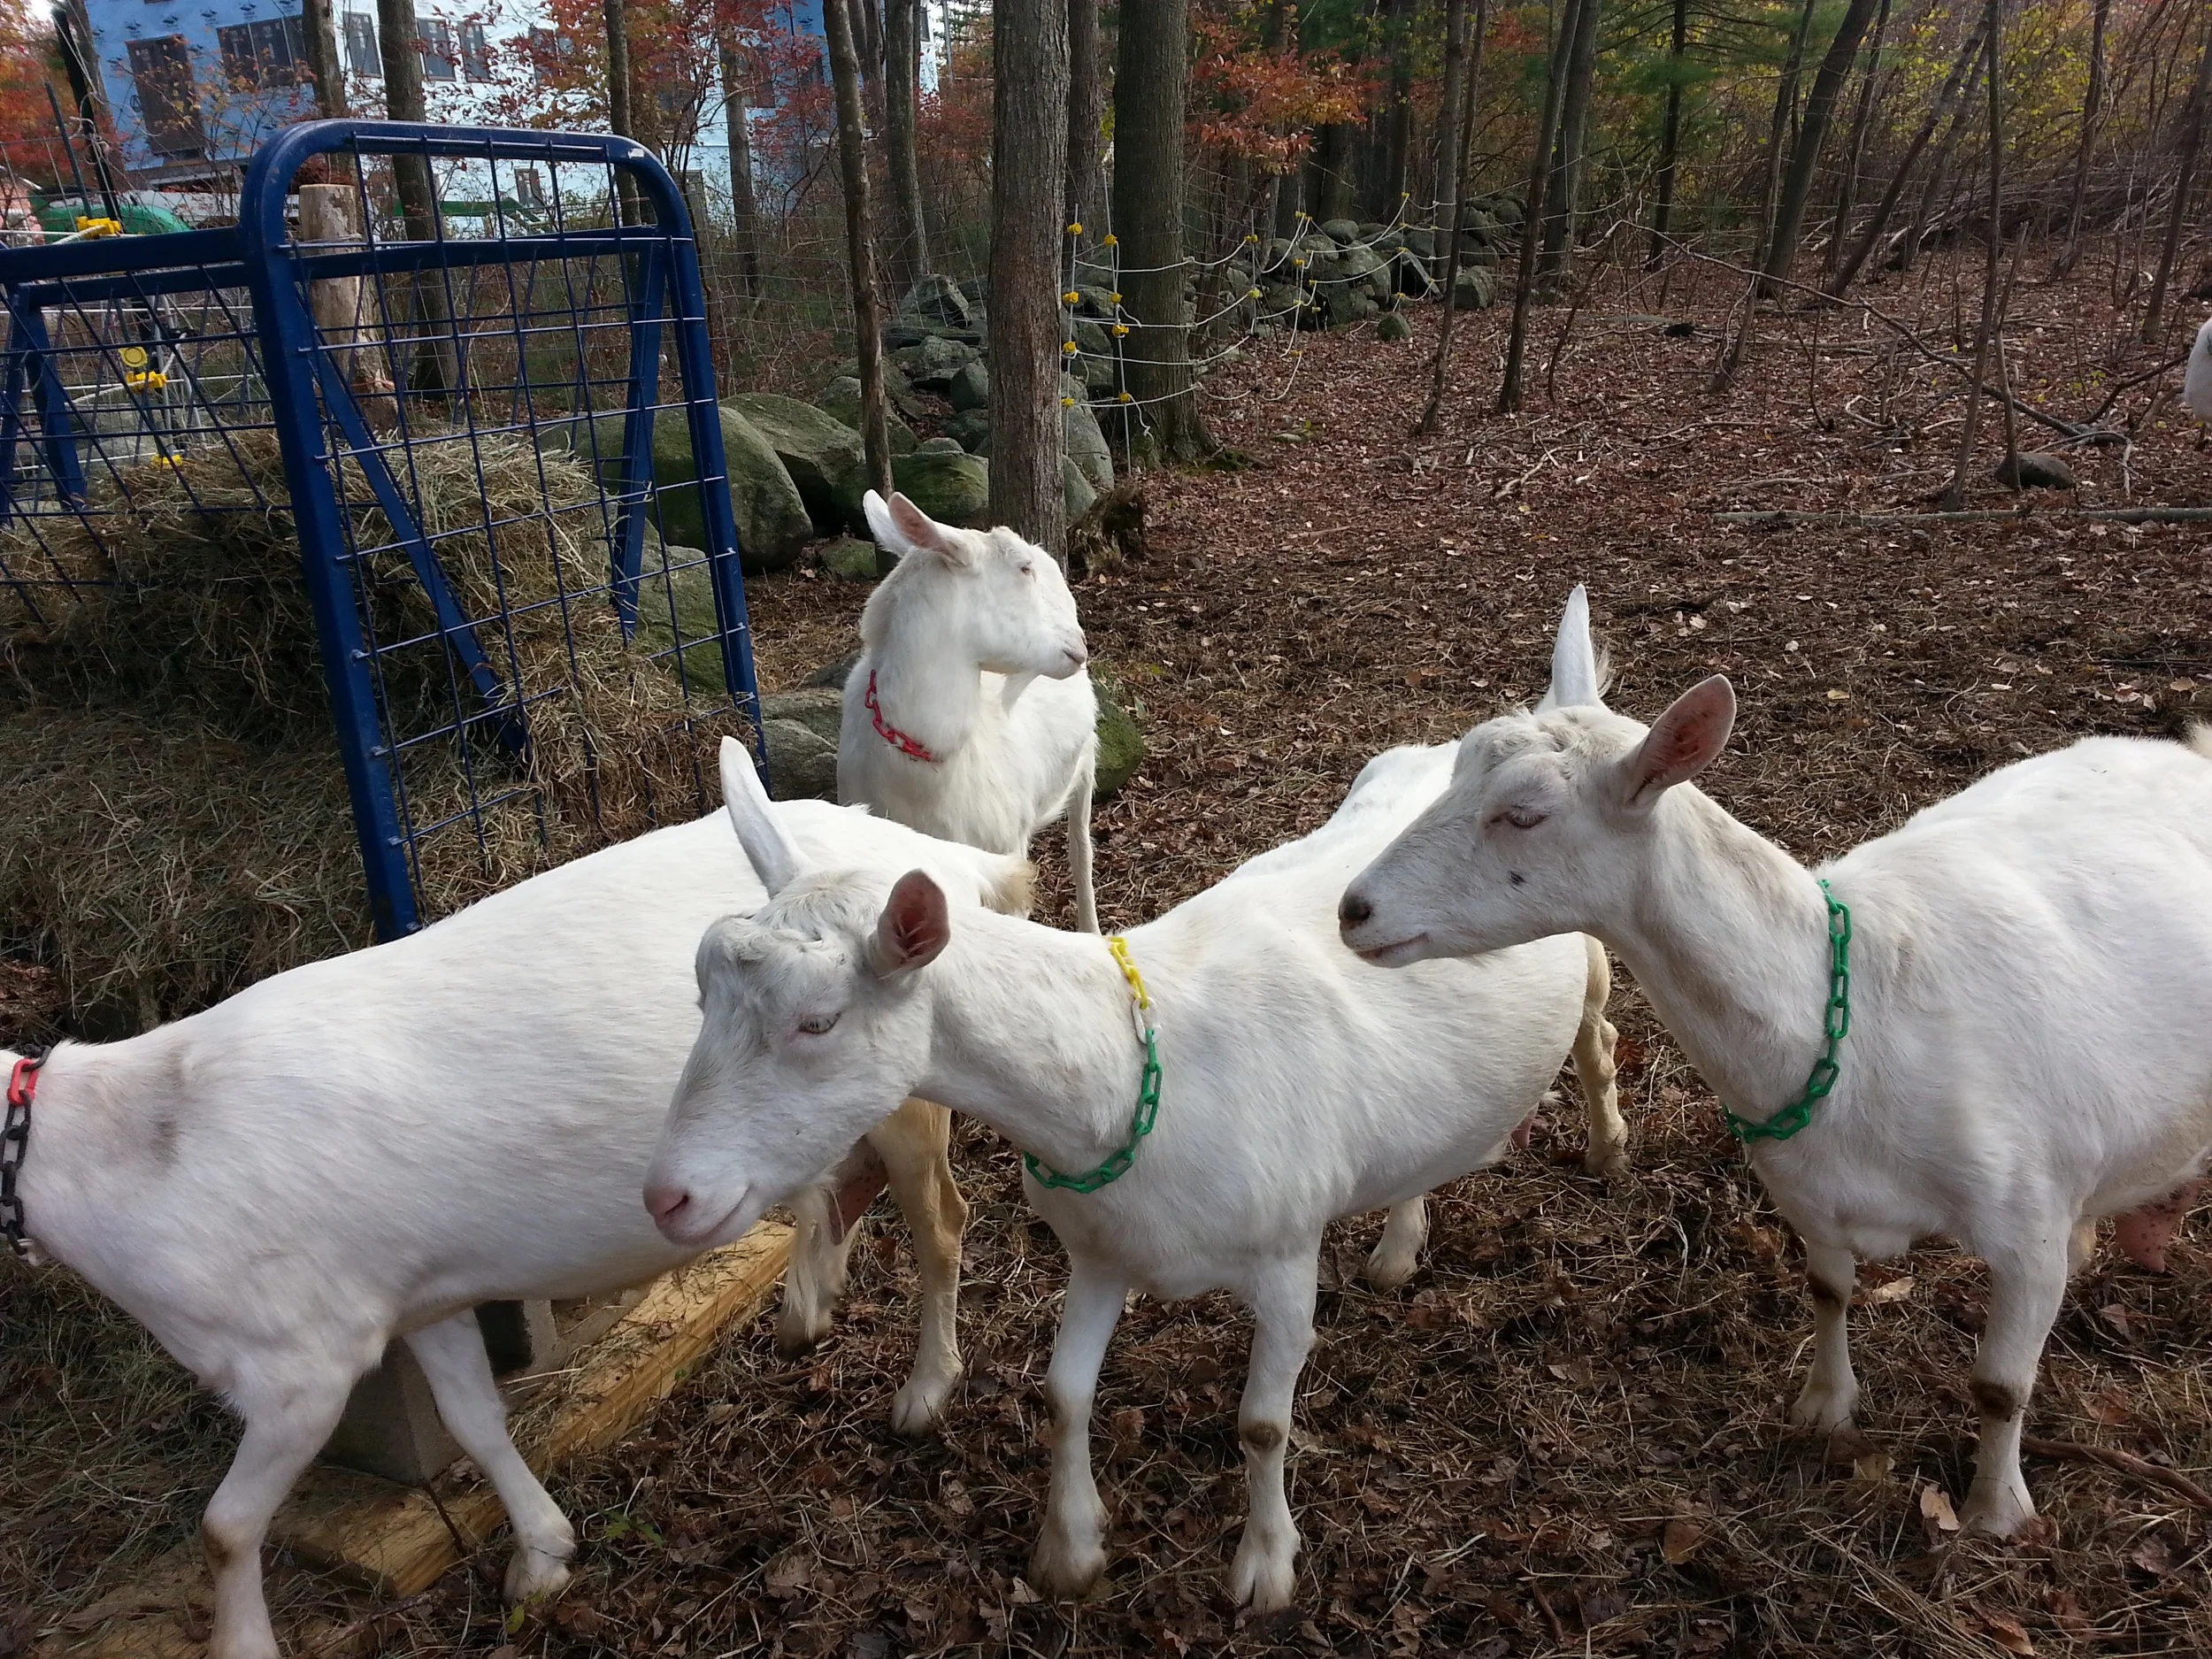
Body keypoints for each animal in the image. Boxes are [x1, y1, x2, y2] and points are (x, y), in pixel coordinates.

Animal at [2, 744, 1026, 1659]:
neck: (137, 1145)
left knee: (941, 1220)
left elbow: (224, 1525)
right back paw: (807, 1307)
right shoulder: (418, 1292)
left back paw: (924, 1388)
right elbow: (472, 1419)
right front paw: (543, 1552)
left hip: (908, 1095)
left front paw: (243, 1644)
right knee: (840, 1182)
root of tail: (942, 859)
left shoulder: (304, 1366)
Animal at [644, 640, 1622, 1613]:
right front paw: (1070, 1548)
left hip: (1594, 949)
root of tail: (1548, 713)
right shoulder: (1100, 1249)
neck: (1132, 1070)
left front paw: (1265, 1566)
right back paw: (1398, 1245)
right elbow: (1064, 1394)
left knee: (1599, 1030)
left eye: (818, 1022)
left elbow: (1262, 1425)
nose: (669, 1196)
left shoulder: (1285, 1255)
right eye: (699, 988)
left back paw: (1609, 1142)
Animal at [1339, 600, 2212, 1538]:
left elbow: (1999, 1385)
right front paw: (1824, 1406)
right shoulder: (1806, 1190)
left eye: (1526, 813)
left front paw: (1994, 1510)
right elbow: (1828, 1290)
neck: (1859, 1015)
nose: (1353, 909)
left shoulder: (2025, 1222)